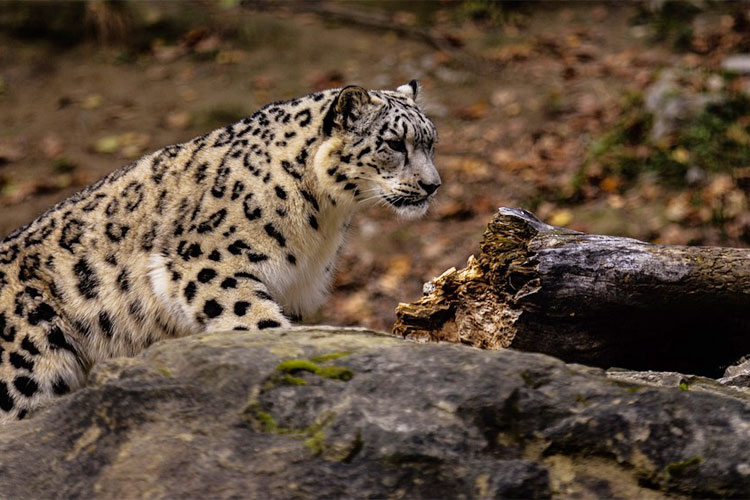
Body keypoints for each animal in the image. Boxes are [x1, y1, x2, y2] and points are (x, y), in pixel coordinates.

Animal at [0, 81, 440, 422]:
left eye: (431, 143)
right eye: (394, 144)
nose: (433, 185)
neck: (322, 224)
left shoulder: (295, 290)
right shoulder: (210, 266)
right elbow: (258, 324)